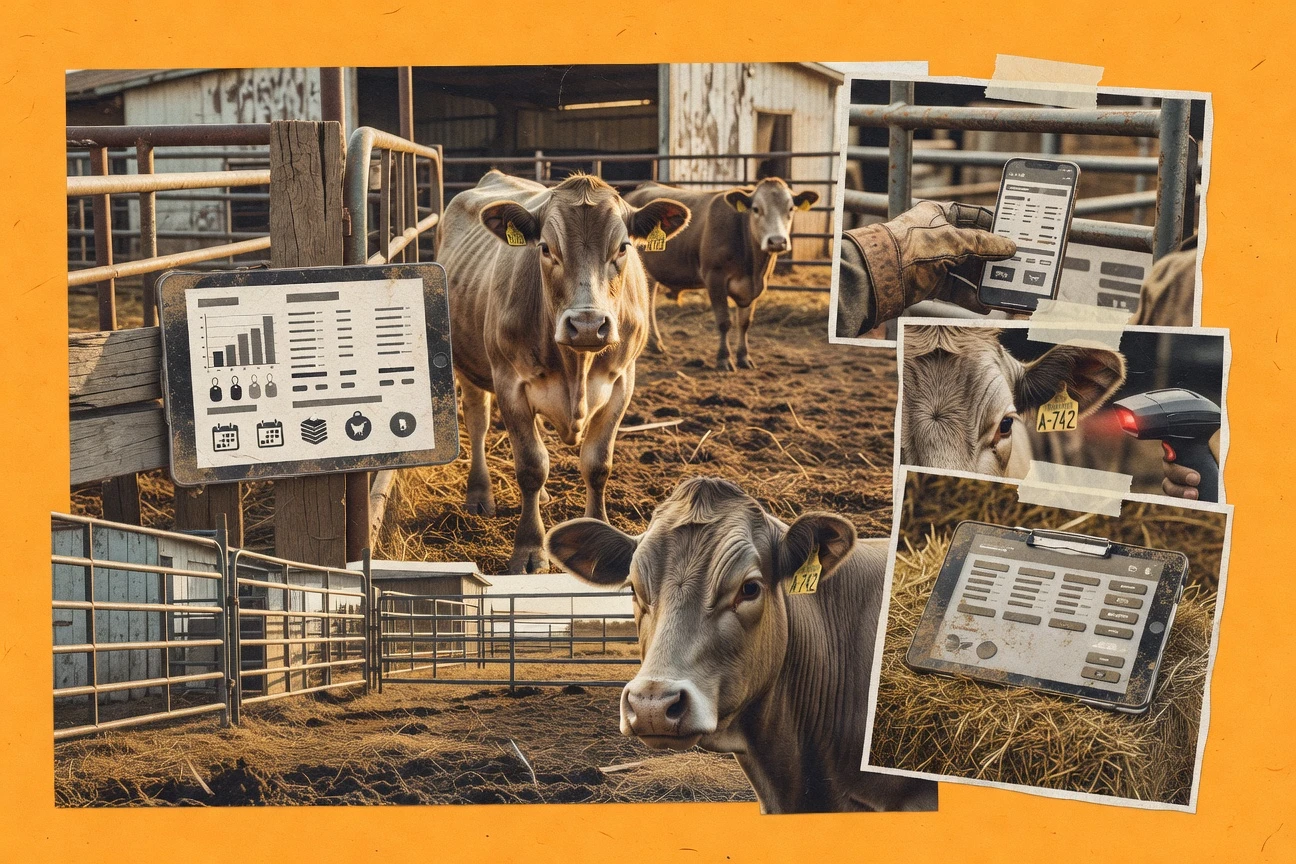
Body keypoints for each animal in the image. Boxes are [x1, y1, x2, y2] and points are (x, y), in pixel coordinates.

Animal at [439, 170, 690, 573]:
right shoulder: (510, 384)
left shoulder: (622, 384)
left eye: (623, 247)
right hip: (468, 366)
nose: (587, 325)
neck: (576, 367)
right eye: (545, 248)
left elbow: (597, 464)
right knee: (477, 423)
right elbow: (531, 466)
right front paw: (529, 549)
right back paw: (479, 495)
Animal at [622, 178, 819, 371]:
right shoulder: (715, 278)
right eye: (756, 209)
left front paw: (744, 357)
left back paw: (655, 344)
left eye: (790, 209)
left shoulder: (756, 286)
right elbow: (724, 322)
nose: (777, 241)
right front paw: (724, 359)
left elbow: (744, 322)